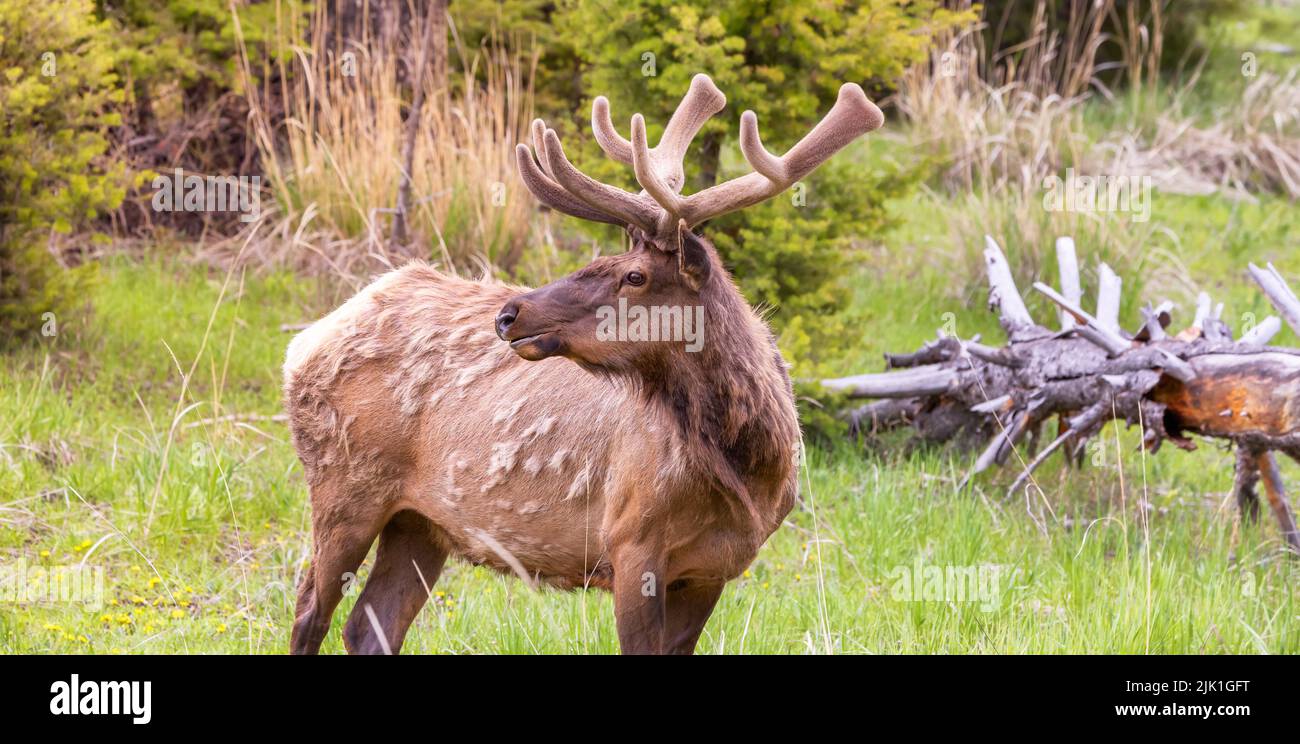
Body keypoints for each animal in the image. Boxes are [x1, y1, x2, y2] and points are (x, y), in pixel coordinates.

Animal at [283, 73, 884, 654]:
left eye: (634, 275)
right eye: (605, 258)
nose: (509, 314)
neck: (747, 471)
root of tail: (305, 341)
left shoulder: (711, 570)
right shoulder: (631, 543)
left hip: (422, 523)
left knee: (370, 625)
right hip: (344, 488)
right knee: (310, 612)